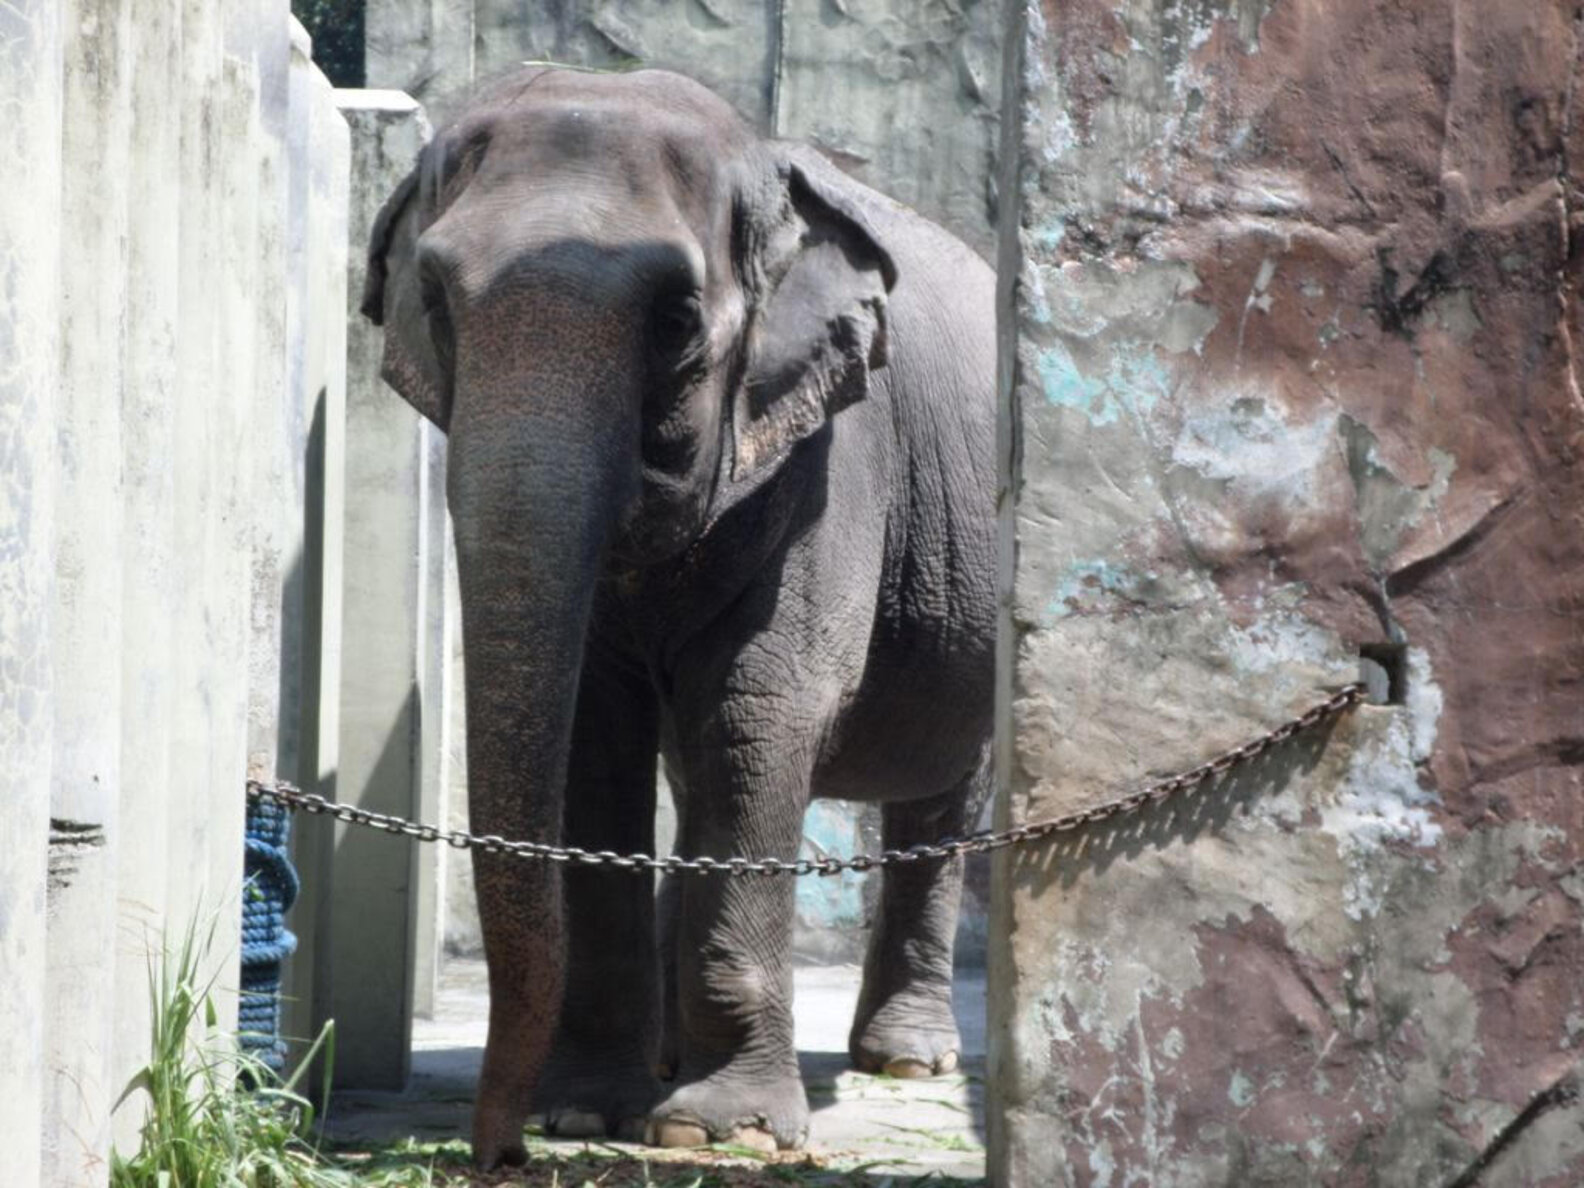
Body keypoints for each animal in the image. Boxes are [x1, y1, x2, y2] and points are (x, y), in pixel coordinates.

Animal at [361, 66, 996, 1170]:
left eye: (676, 322)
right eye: (432, 300)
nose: (499, 1156)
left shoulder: (830, 467)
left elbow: (755, 716)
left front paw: (719, 1132)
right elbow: (595, 737)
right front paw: (586, 1113)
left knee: (941, 787)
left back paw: (908, 1061)